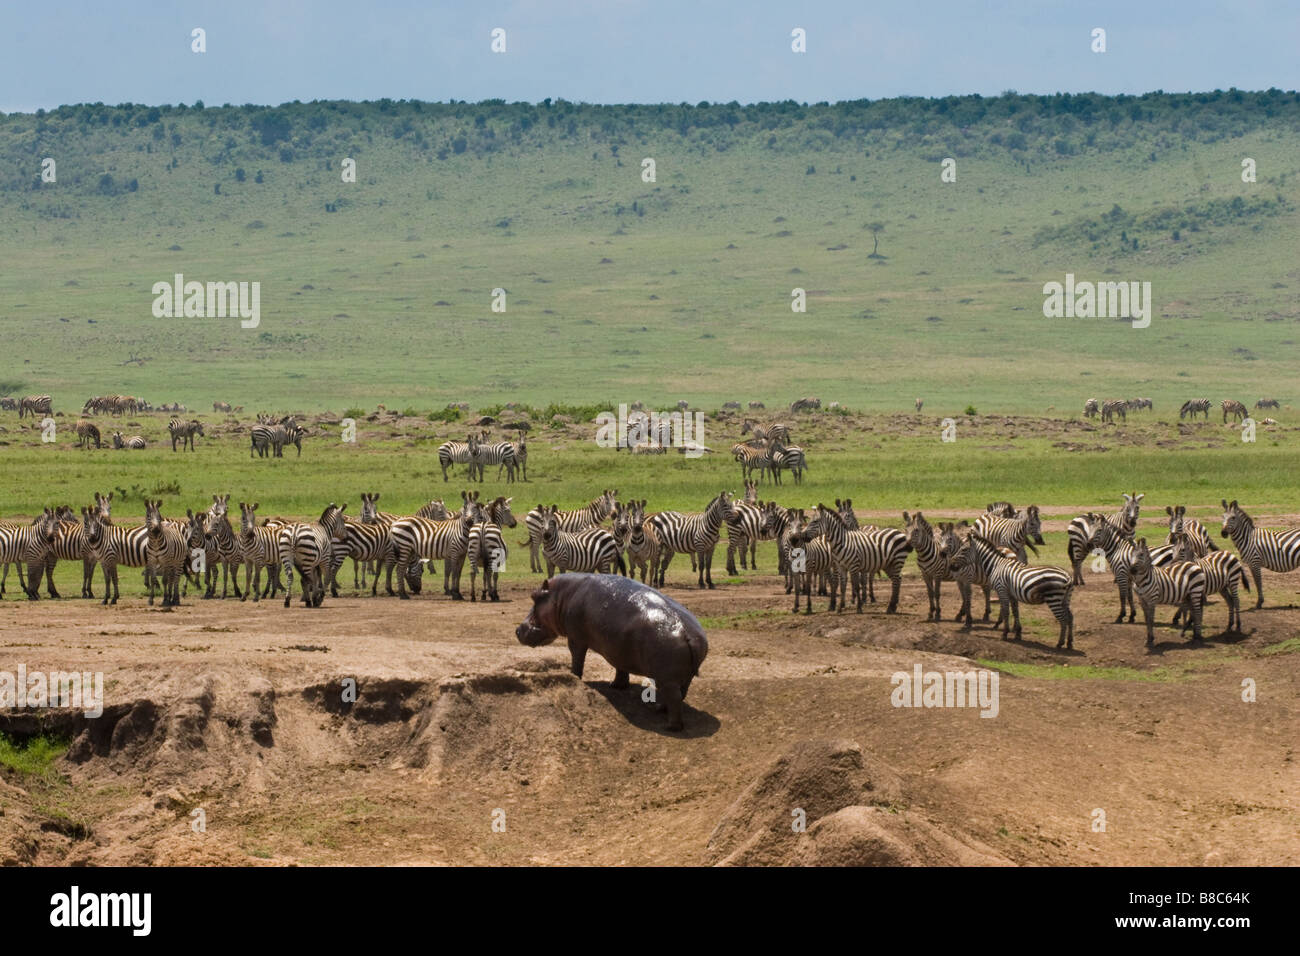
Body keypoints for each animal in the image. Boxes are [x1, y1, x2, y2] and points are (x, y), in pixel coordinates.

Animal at [516, 574, 709, 731]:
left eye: (535, 597)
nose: (518, 629)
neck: (561, 595)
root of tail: (687, 634)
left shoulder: (576, 639)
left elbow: (577, 658)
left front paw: (574, 676)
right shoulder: (618, 649)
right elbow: (620, 669)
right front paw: (614, 685)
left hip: (666, 678)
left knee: (674, 698)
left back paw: (670, 726)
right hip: (683, 676)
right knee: (680, 694)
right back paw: (659, 709)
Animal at [947, 533, 1075, 648]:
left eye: (964, 550)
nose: (951, 565)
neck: (995, 565)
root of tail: (1067, 576)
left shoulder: (1001, 589)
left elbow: (1006, 611)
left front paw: (1005, 633)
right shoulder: (1012, 593)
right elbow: (1015, 611)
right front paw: (1018, 633)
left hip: (1054, 598)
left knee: (1063, 619)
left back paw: (1060, 643)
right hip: (1065, 599)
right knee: (1070, 617)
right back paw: (1069, 643)